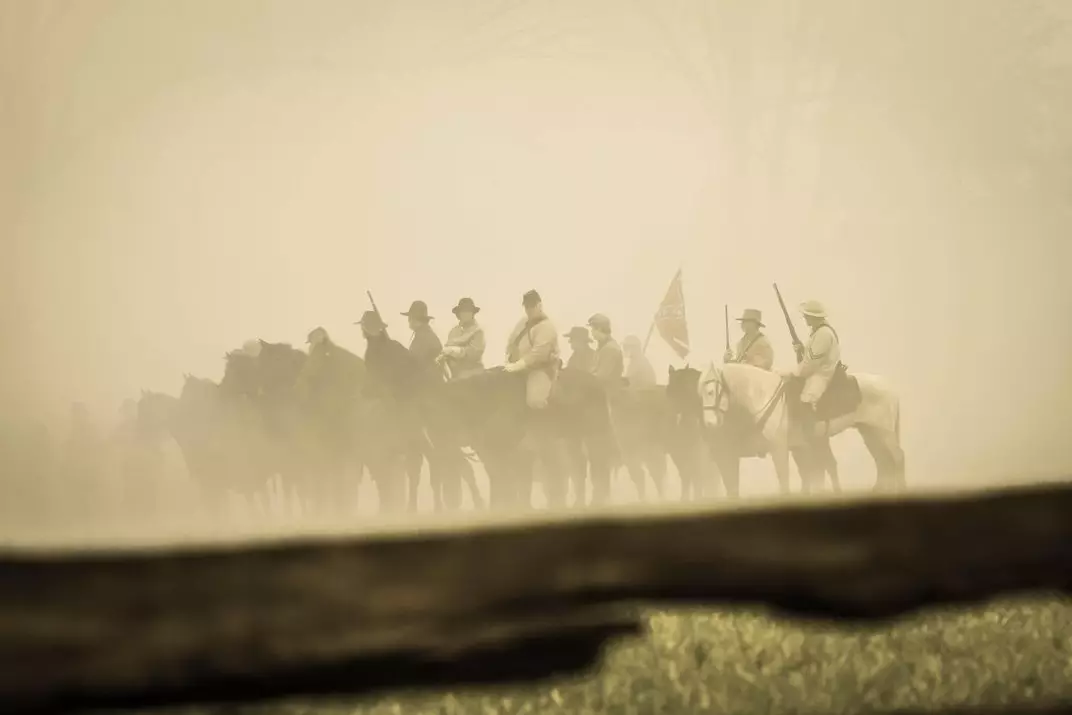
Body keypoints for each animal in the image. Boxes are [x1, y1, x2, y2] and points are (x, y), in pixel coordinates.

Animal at [694, 364, 904, 493]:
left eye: (711, 392)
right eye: (700, 393)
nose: (709, 424)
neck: (763, 395)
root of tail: (890, 387)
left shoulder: (779, 449)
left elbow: (785, 480)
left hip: (884, 433)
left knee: (897, 459)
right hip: (870, 433)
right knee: (882, 461)